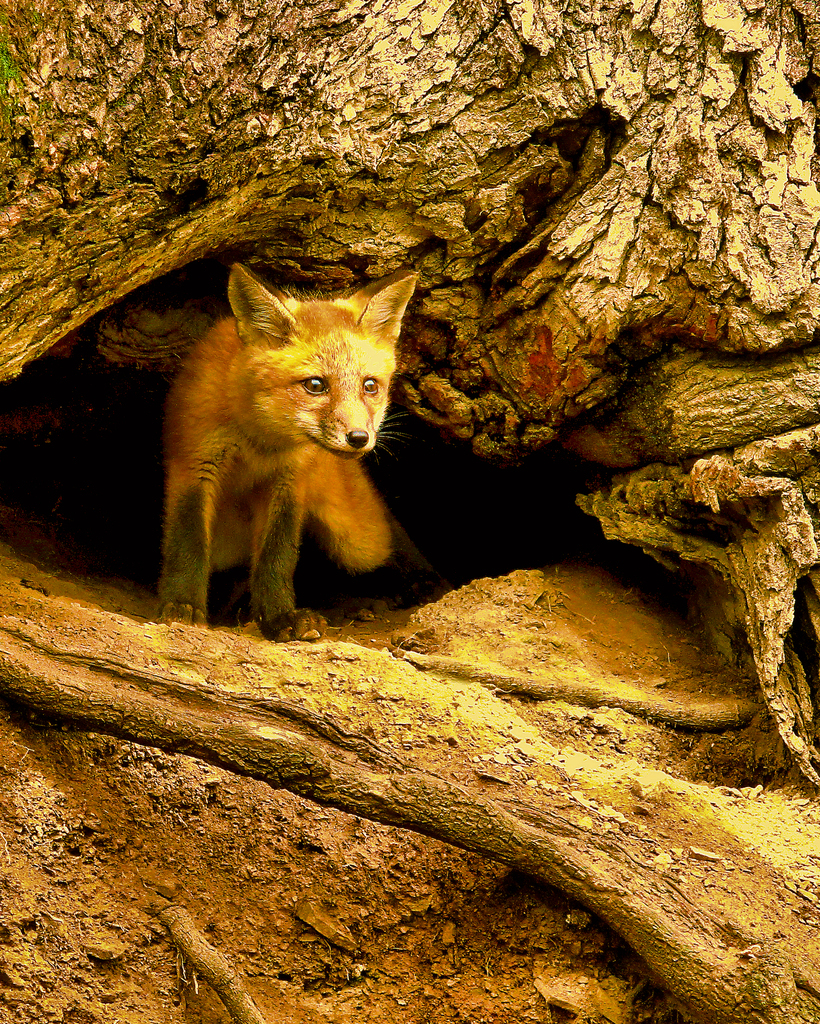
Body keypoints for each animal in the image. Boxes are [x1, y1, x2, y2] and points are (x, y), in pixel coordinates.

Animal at [158, 262, 439, 640]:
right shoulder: (194, 465)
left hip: (357, 542)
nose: (359, 437)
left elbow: (277, 556)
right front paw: (182, 606)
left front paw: (279, 617)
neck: (260, 442)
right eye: (315, 385)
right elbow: (187, 544)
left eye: (370, 386)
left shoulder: (290, 482)